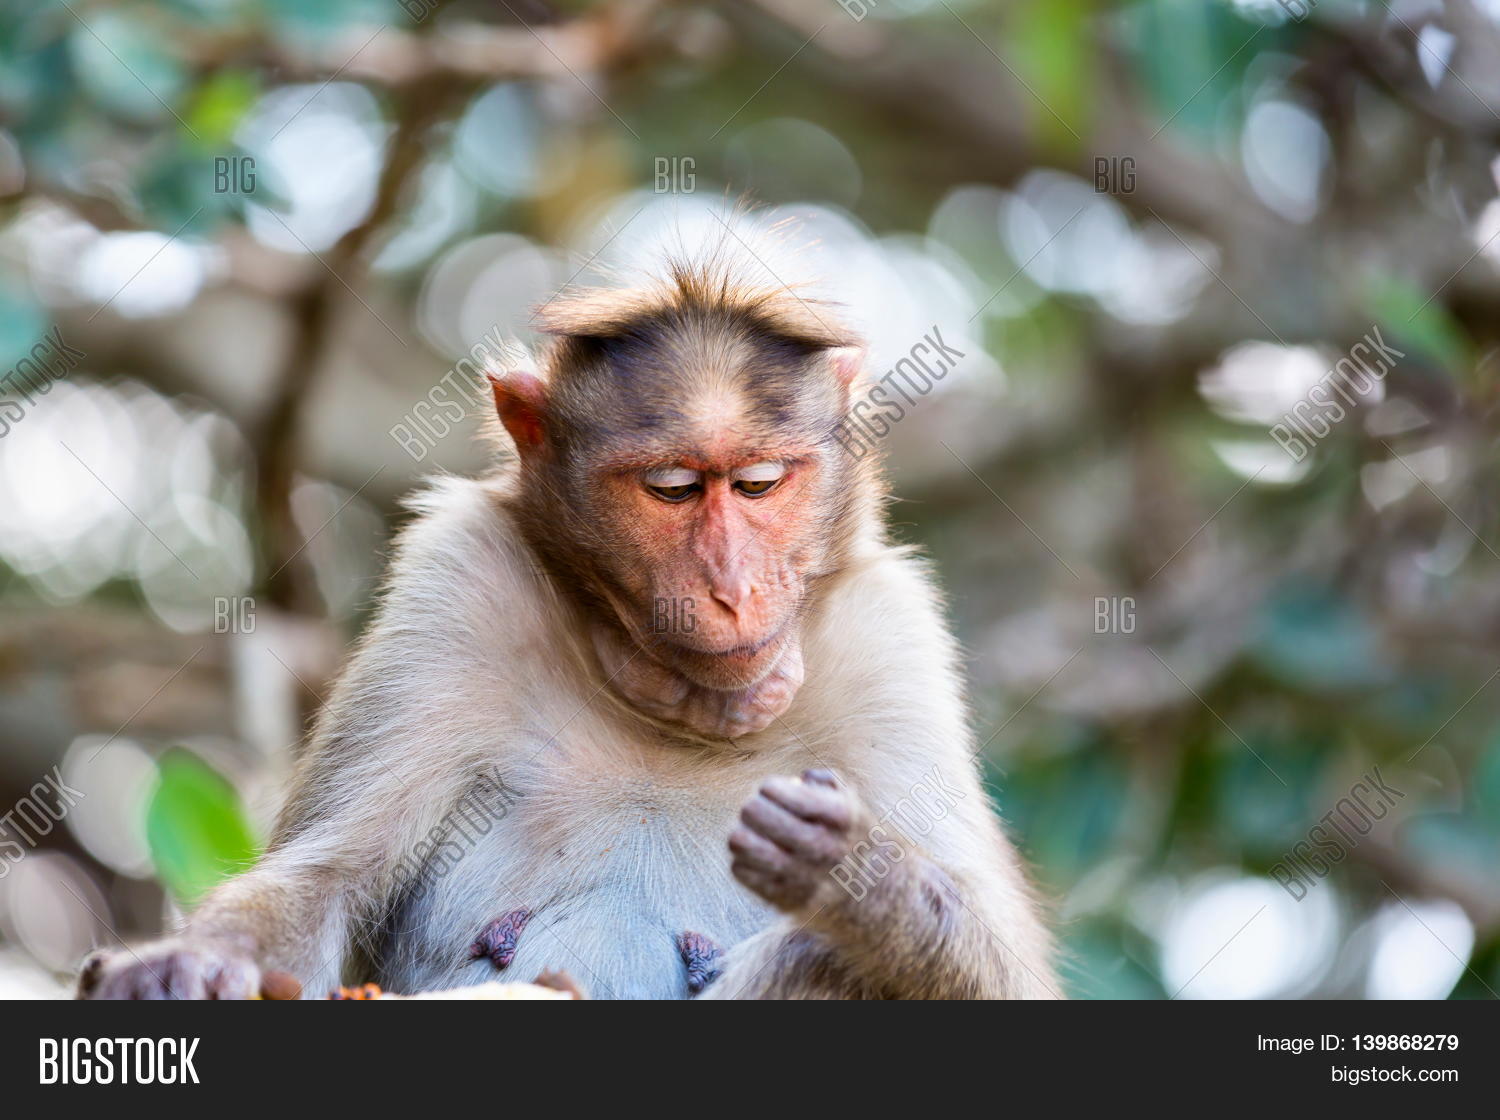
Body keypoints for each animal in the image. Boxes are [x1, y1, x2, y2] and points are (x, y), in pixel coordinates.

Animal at [78, 245, 1059, 1000]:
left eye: (760, 483)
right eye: (671, 488)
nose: (734, 587)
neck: (674, 712)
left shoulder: (890, 639)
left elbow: (1006, 973)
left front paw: (855, 876)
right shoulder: (459, 582)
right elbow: (329, 878)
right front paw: (185, 963)